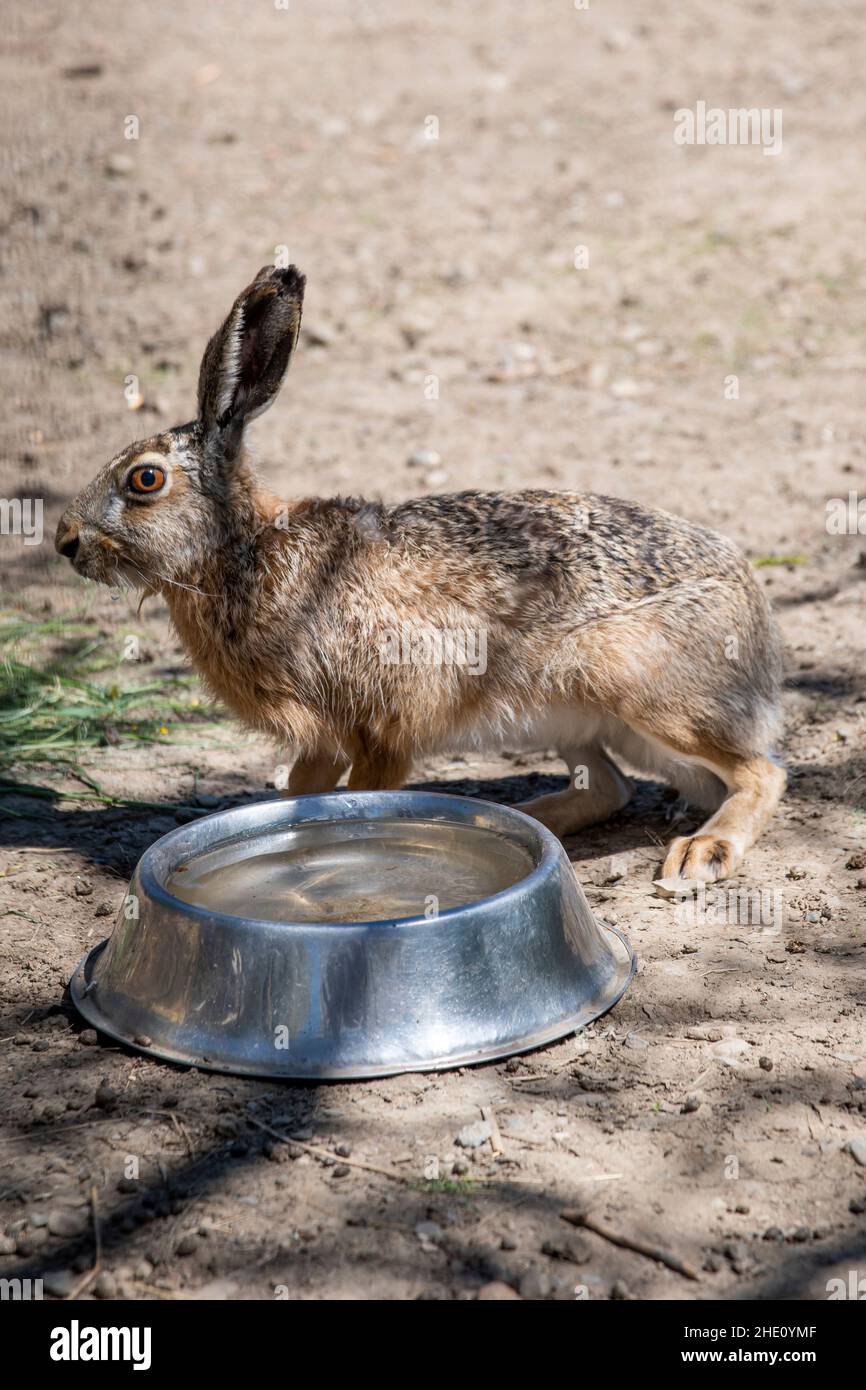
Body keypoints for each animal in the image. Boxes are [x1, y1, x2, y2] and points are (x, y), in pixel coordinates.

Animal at [56, 263, 785, 883]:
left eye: (144, 480)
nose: (65, 541)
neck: (241, 548)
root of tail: (759, 631)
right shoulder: (322, 734)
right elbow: (303, 793)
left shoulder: (380, 722)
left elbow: (362, 796)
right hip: (567, 721)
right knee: (610, 787)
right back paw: (528, 820)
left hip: (645, 691)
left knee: (761, 773)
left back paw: (702, 853)